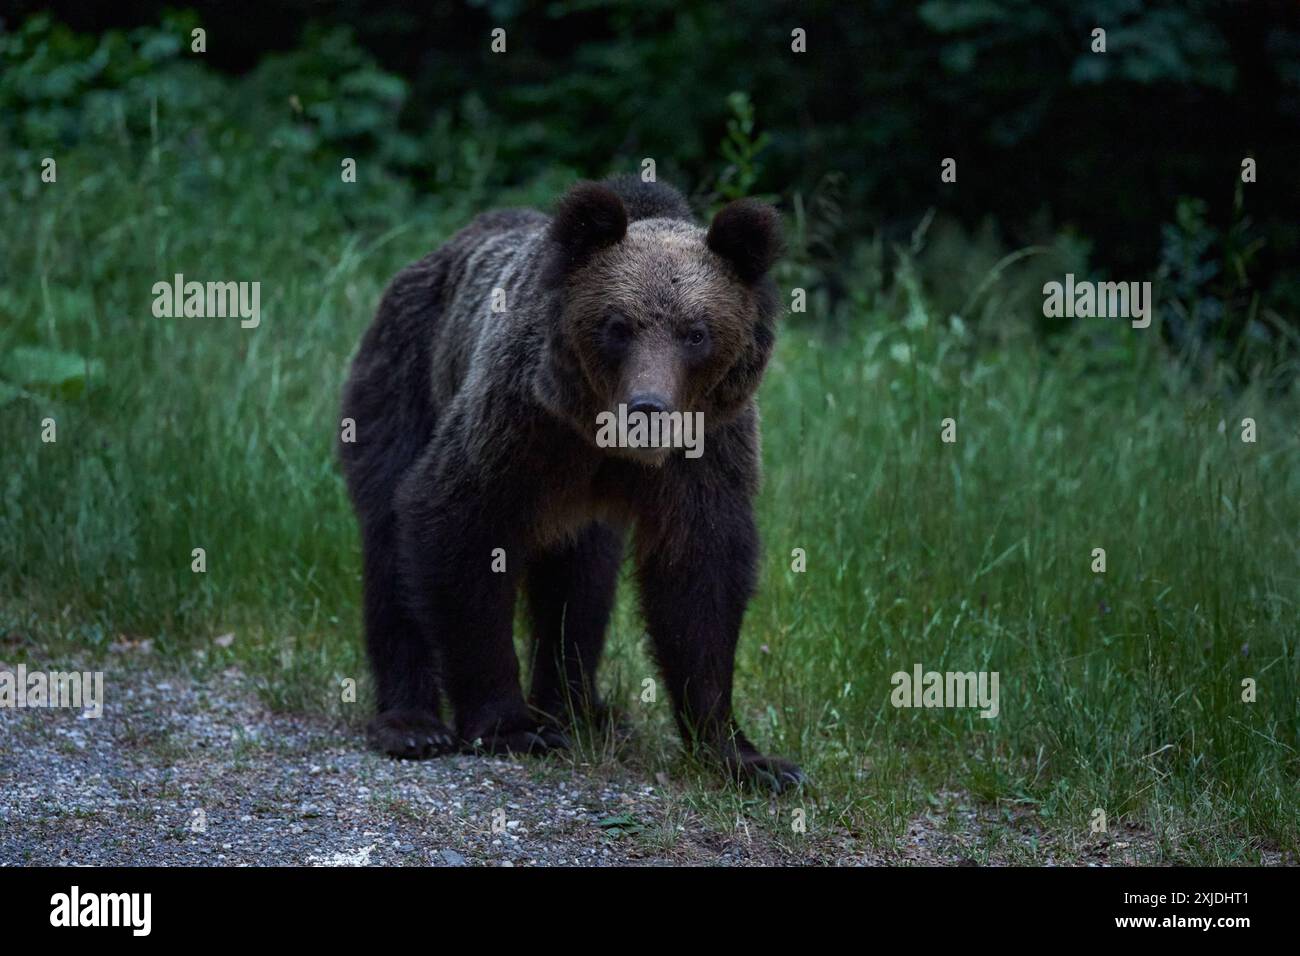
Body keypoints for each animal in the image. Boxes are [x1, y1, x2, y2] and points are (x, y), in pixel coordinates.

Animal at [339, 175, 803, 790]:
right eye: (617, 326)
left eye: (696, 333)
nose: (648, 408)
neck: (606, 445)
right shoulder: (521, 424)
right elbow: (455, 523)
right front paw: (508, 725)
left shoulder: (704, 451)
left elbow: (700, 573)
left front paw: (744, 756)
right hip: (403, 377)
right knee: (390, 541)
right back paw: (412, 722)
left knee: (582, 583)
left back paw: (581, 711)